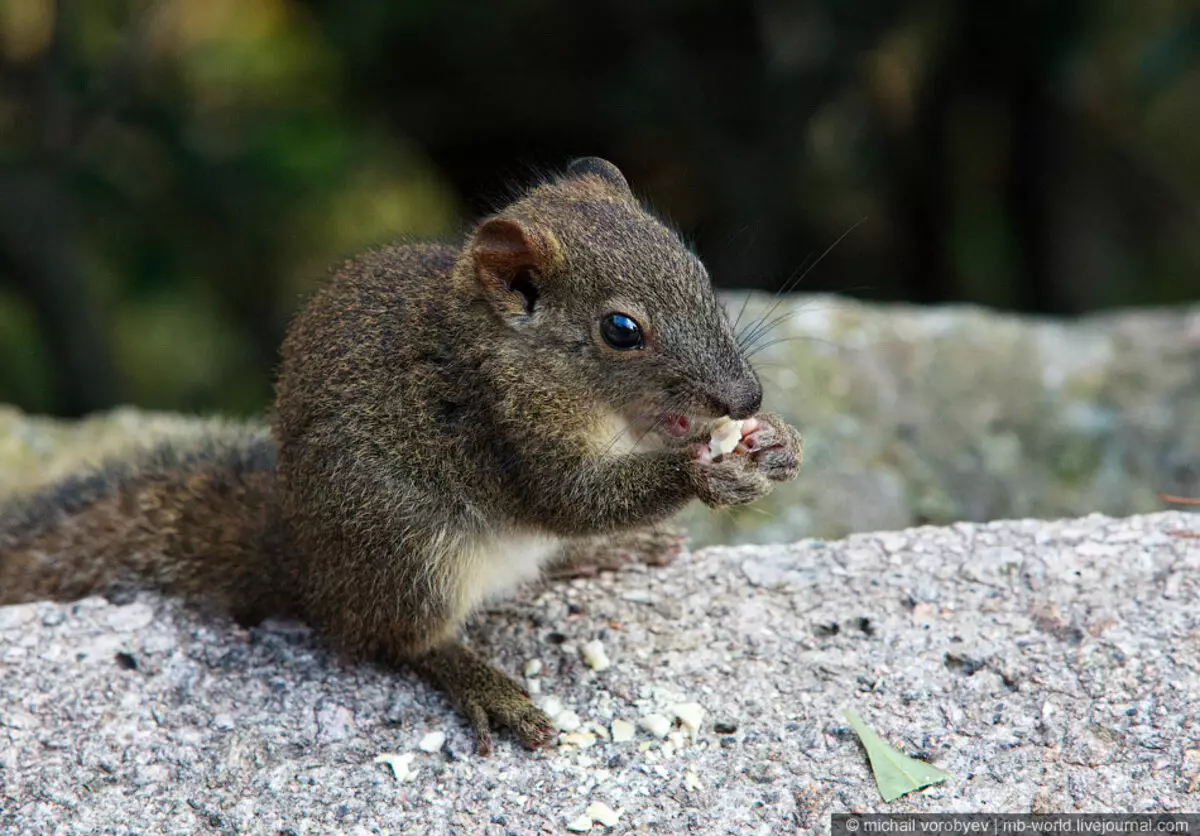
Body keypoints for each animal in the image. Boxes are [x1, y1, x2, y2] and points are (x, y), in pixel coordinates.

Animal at [4, 159, 806, 753]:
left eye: (700, 274)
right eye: (620, 329)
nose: (745, 395)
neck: (513, 353)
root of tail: (308, 573)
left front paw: (772, 444)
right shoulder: (506, 431)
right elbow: (573, 500)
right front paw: (705, 470)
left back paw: (605, 554)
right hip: (406, 550)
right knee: (397, 640)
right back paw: (486, 685)